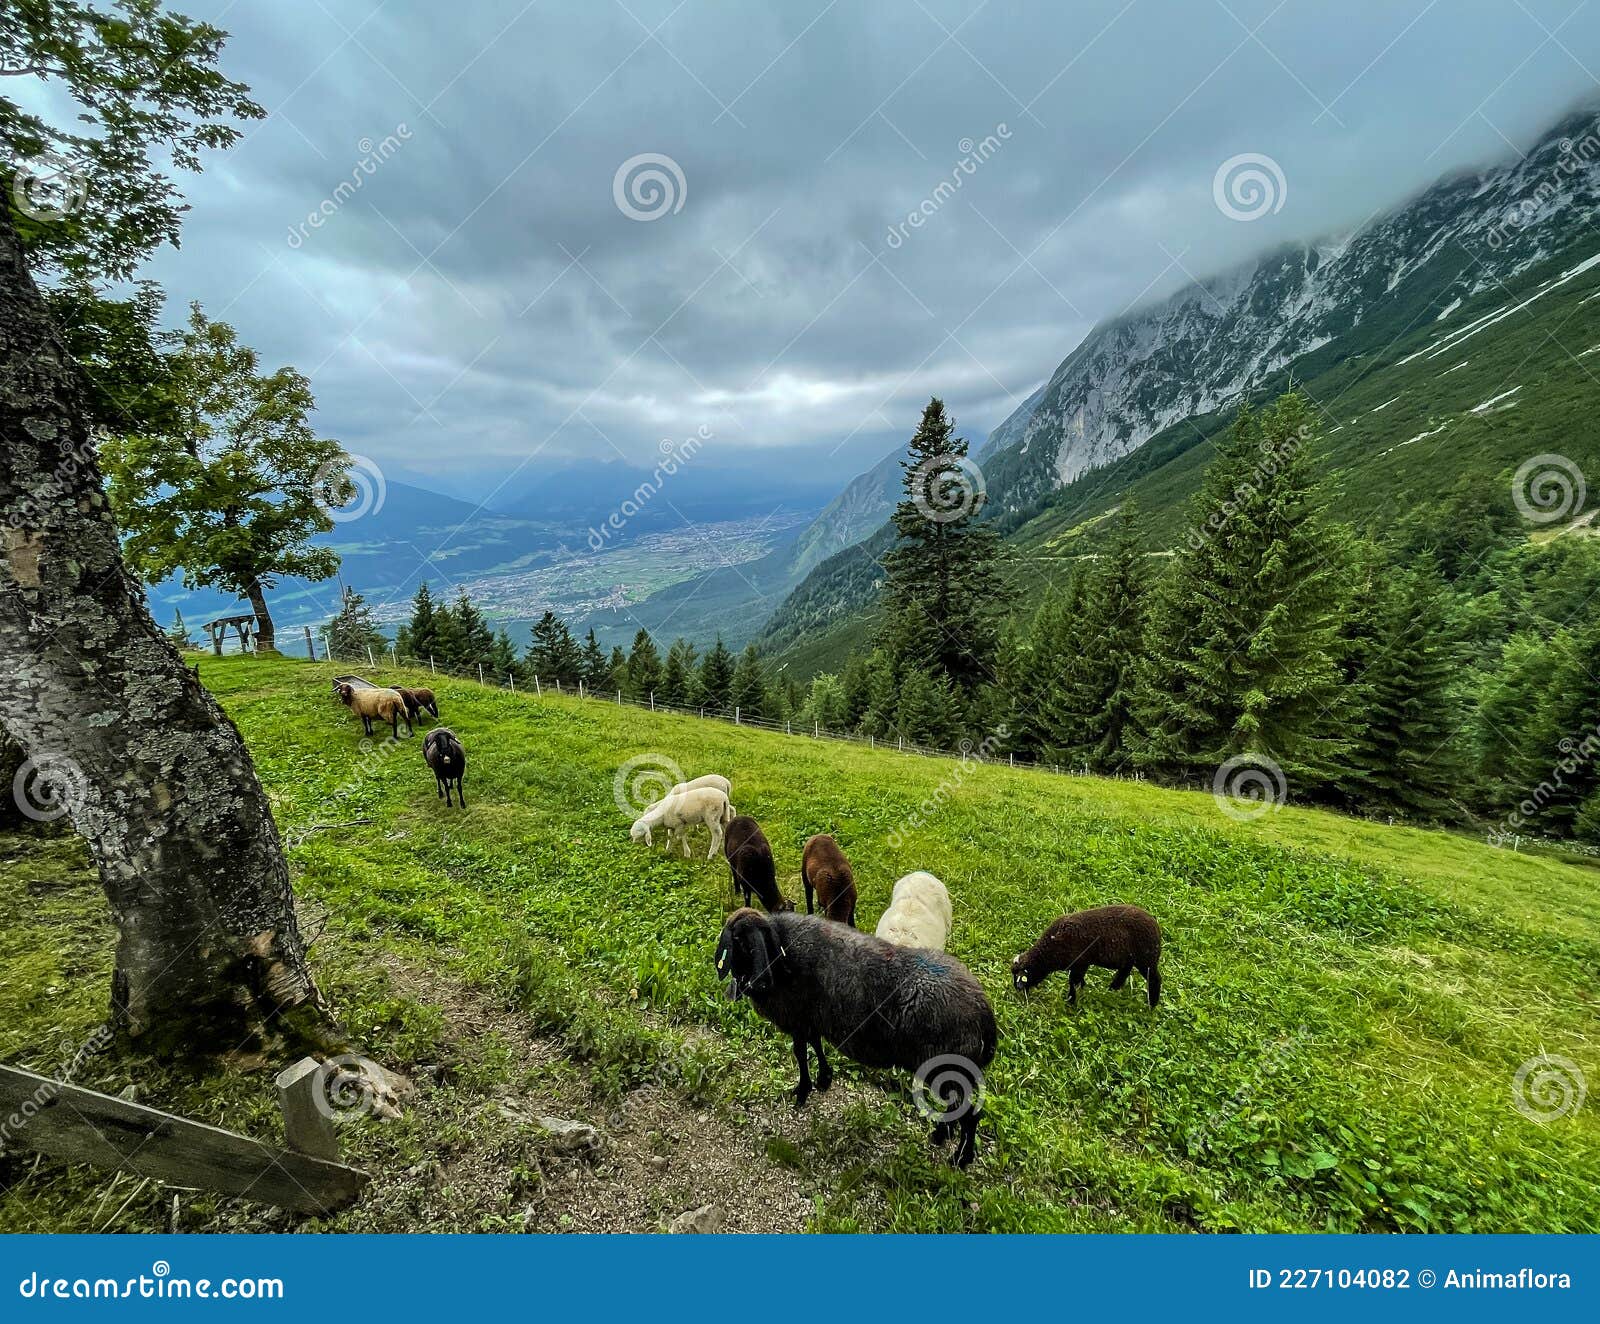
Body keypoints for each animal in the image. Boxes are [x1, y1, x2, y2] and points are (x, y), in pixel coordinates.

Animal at [715, 908, 997, 1167]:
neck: (780, 954)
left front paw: (802, 1091)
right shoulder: (811, 1019)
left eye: (740, 941)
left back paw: (961, 1158)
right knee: (957, 1106)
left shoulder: (798, 1020)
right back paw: (941, 1135)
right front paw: (824, 1079)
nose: (753, 982)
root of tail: (984, 1011)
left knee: (970, 1115)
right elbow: (815, 1046)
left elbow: (800, 1055)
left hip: (946, 1065)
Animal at [1012, 904, 1163, 1007]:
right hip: (1129, 959)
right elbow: (1079, 982)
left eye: (1022, 975)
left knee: (1155, 979)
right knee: (1123, 974)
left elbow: (1074, 982)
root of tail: (1156, 925)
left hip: (1146, 958)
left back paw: (1152, 1005)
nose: (1017, 990)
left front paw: (1071, 1001)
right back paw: (1111, 991)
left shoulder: (1080, 963)